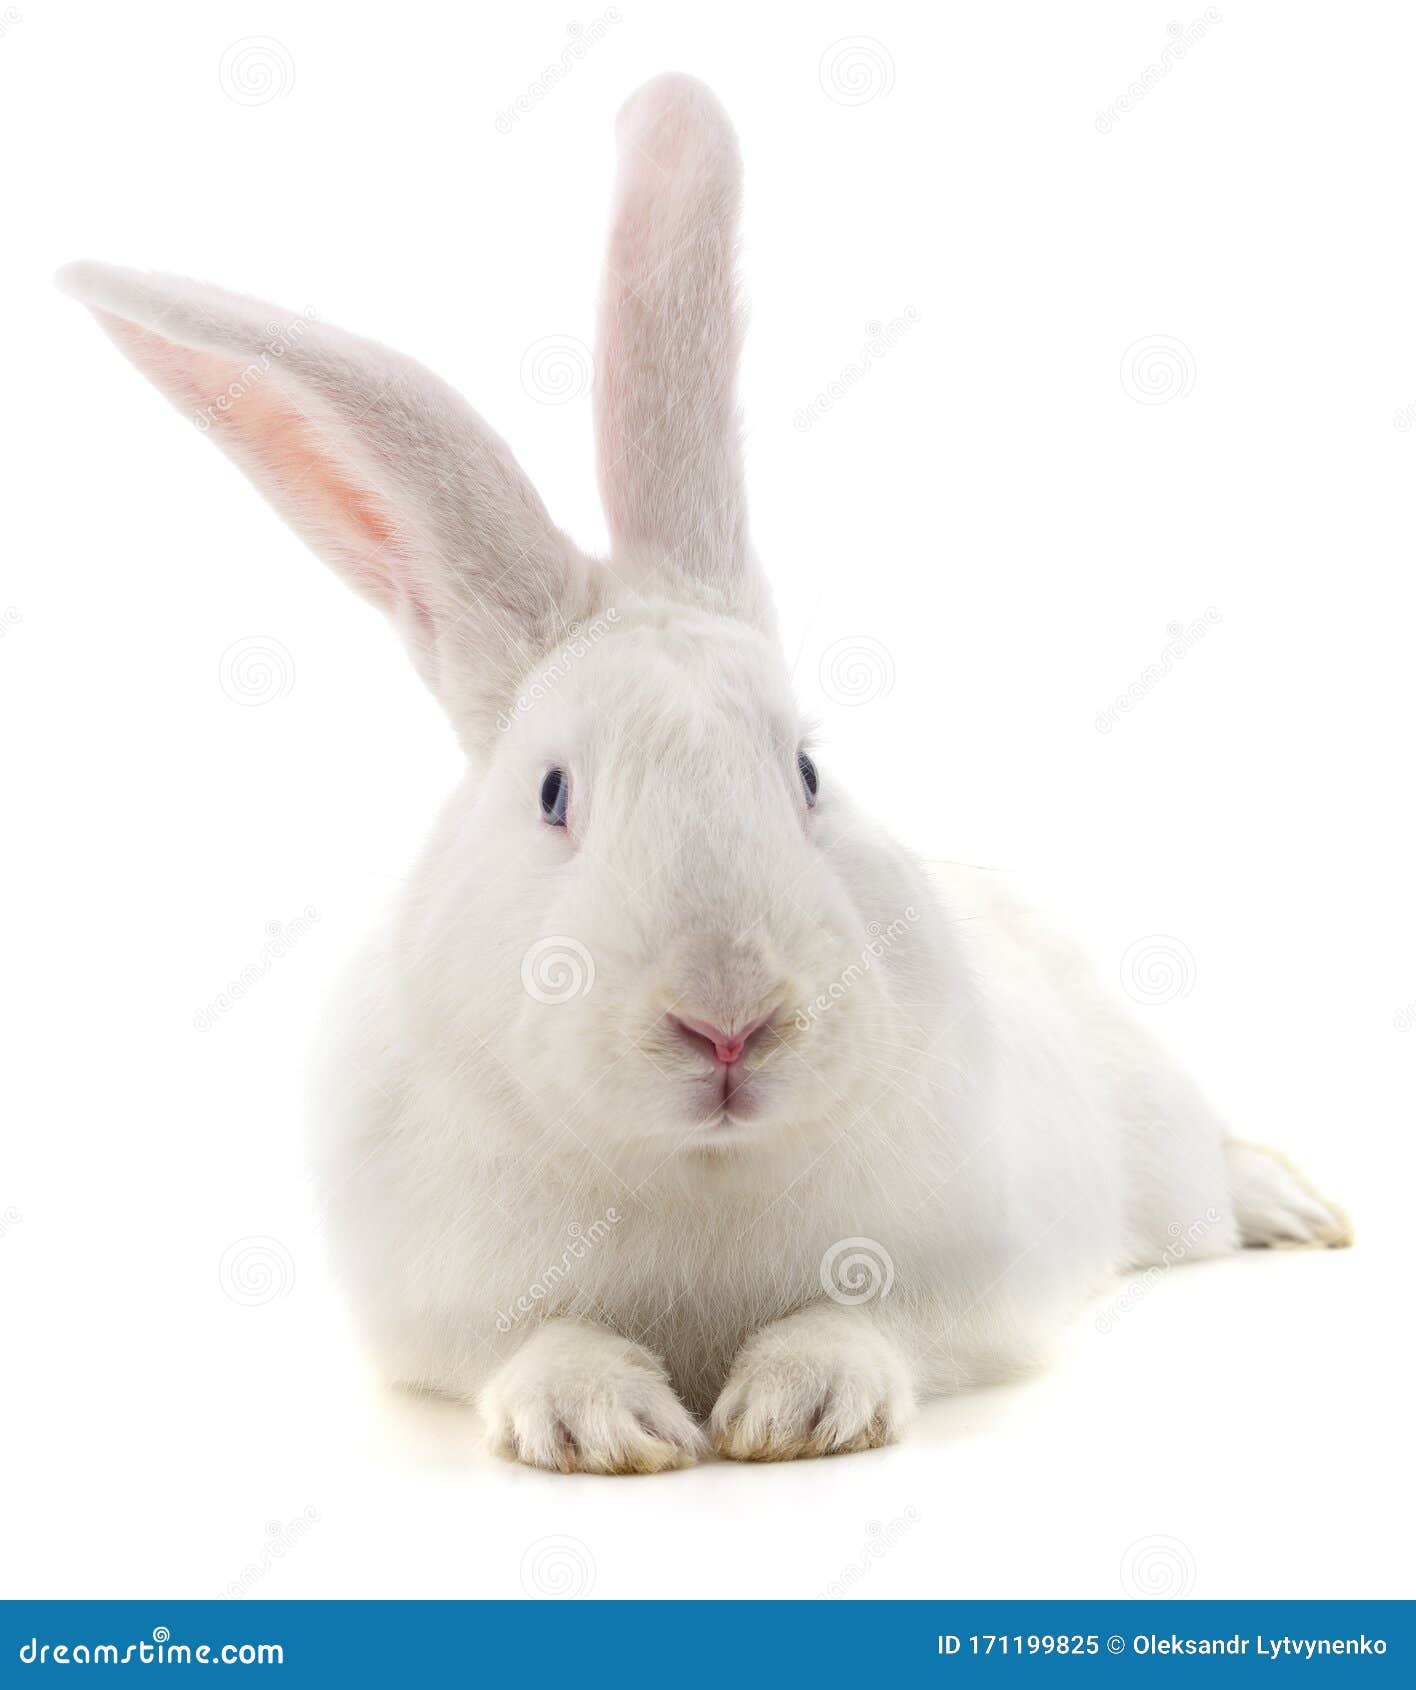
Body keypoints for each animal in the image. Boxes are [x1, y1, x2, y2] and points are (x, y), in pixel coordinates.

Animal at [60, 73, 1350, 1475]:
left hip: (1153, 1137)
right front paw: (603, 1423)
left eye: (806, 772)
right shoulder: (442, 1317)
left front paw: (797, 1407)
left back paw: (1298, 1204)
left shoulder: (977, 1282)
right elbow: (533, 1342)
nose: (730, 1019)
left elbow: (876, 1321)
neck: (699, 1169)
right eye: (553, 795)